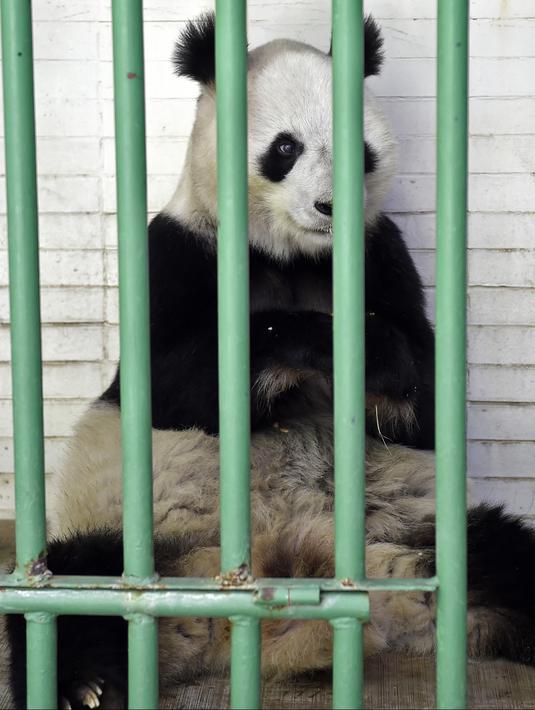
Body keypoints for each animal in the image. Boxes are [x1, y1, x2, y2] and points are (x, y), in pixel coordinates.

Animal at [4, 13, 535, 710]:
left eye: (358, 148)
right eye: (285, 148)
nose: (330, 207)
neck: (292, 253)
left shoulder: (379, 248)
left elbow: (426, 402)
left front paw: (375, 355)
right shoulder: (177, 246)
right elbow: (165, 386)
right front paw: (325, 344)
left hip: (414, 534)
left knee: (506, 560)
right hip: (140, 544)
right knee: (76, 586)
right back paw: (85, 684)